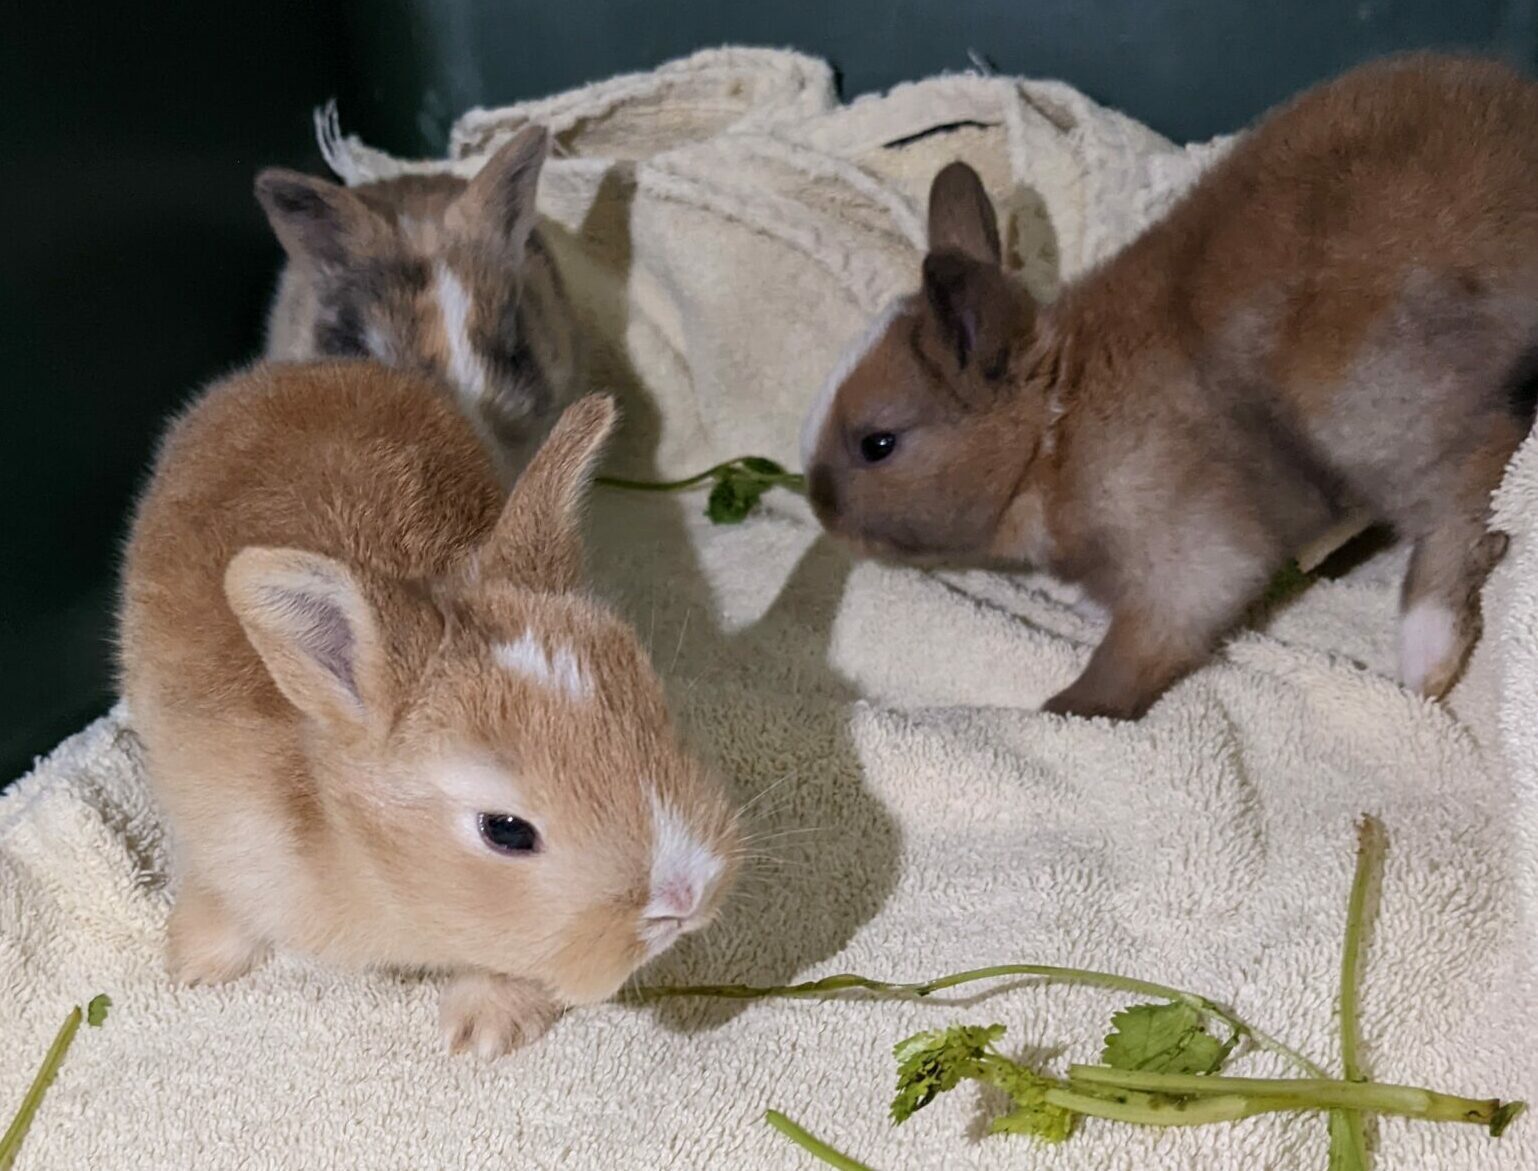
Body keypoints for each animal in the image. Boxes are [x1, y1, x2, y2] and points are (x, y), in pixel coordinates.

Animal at [118, 360, 740, 1057]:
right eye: (506, 830)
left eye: (656, 711)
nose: (686, 897)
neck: (358, 845)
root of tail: (297, 370)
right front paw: (198, 963)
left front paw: (487, 1028)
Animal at [801, 53, 1538, 720]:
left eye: (877, 444)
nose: (821, 510)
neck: (1050, 431)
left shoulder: (1186, 550)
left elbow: (1146, 640)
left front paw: (1070, 708)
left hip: (1373, 408)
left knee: (1468, 496)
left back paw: (1423, 661)